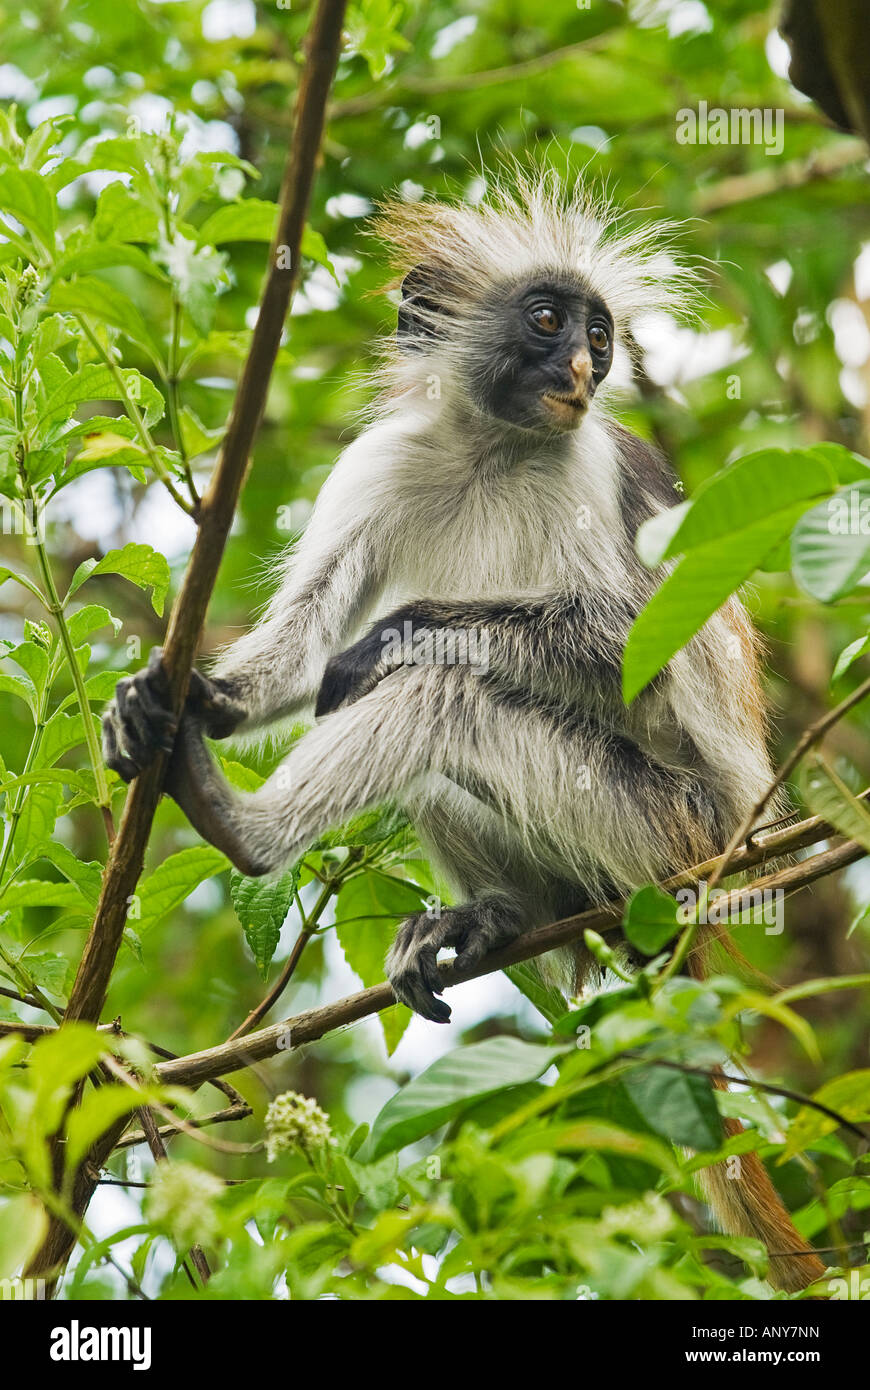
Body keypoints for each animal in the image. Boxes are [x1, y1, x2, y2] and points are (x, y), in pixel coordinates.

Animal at [102, 175, 825, 1291]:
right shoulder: (386, 458)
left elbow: (625, 648)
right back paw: (494, 914)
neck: (498, 443)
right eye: (548, 321)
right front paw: (182, 699)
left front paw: (389, 634)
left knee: (443, 693)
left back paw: (244, 826)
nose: (584, 369)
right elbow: (305, 639)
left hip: (667, 827)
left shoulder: (588, 466)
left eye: (600, 337)